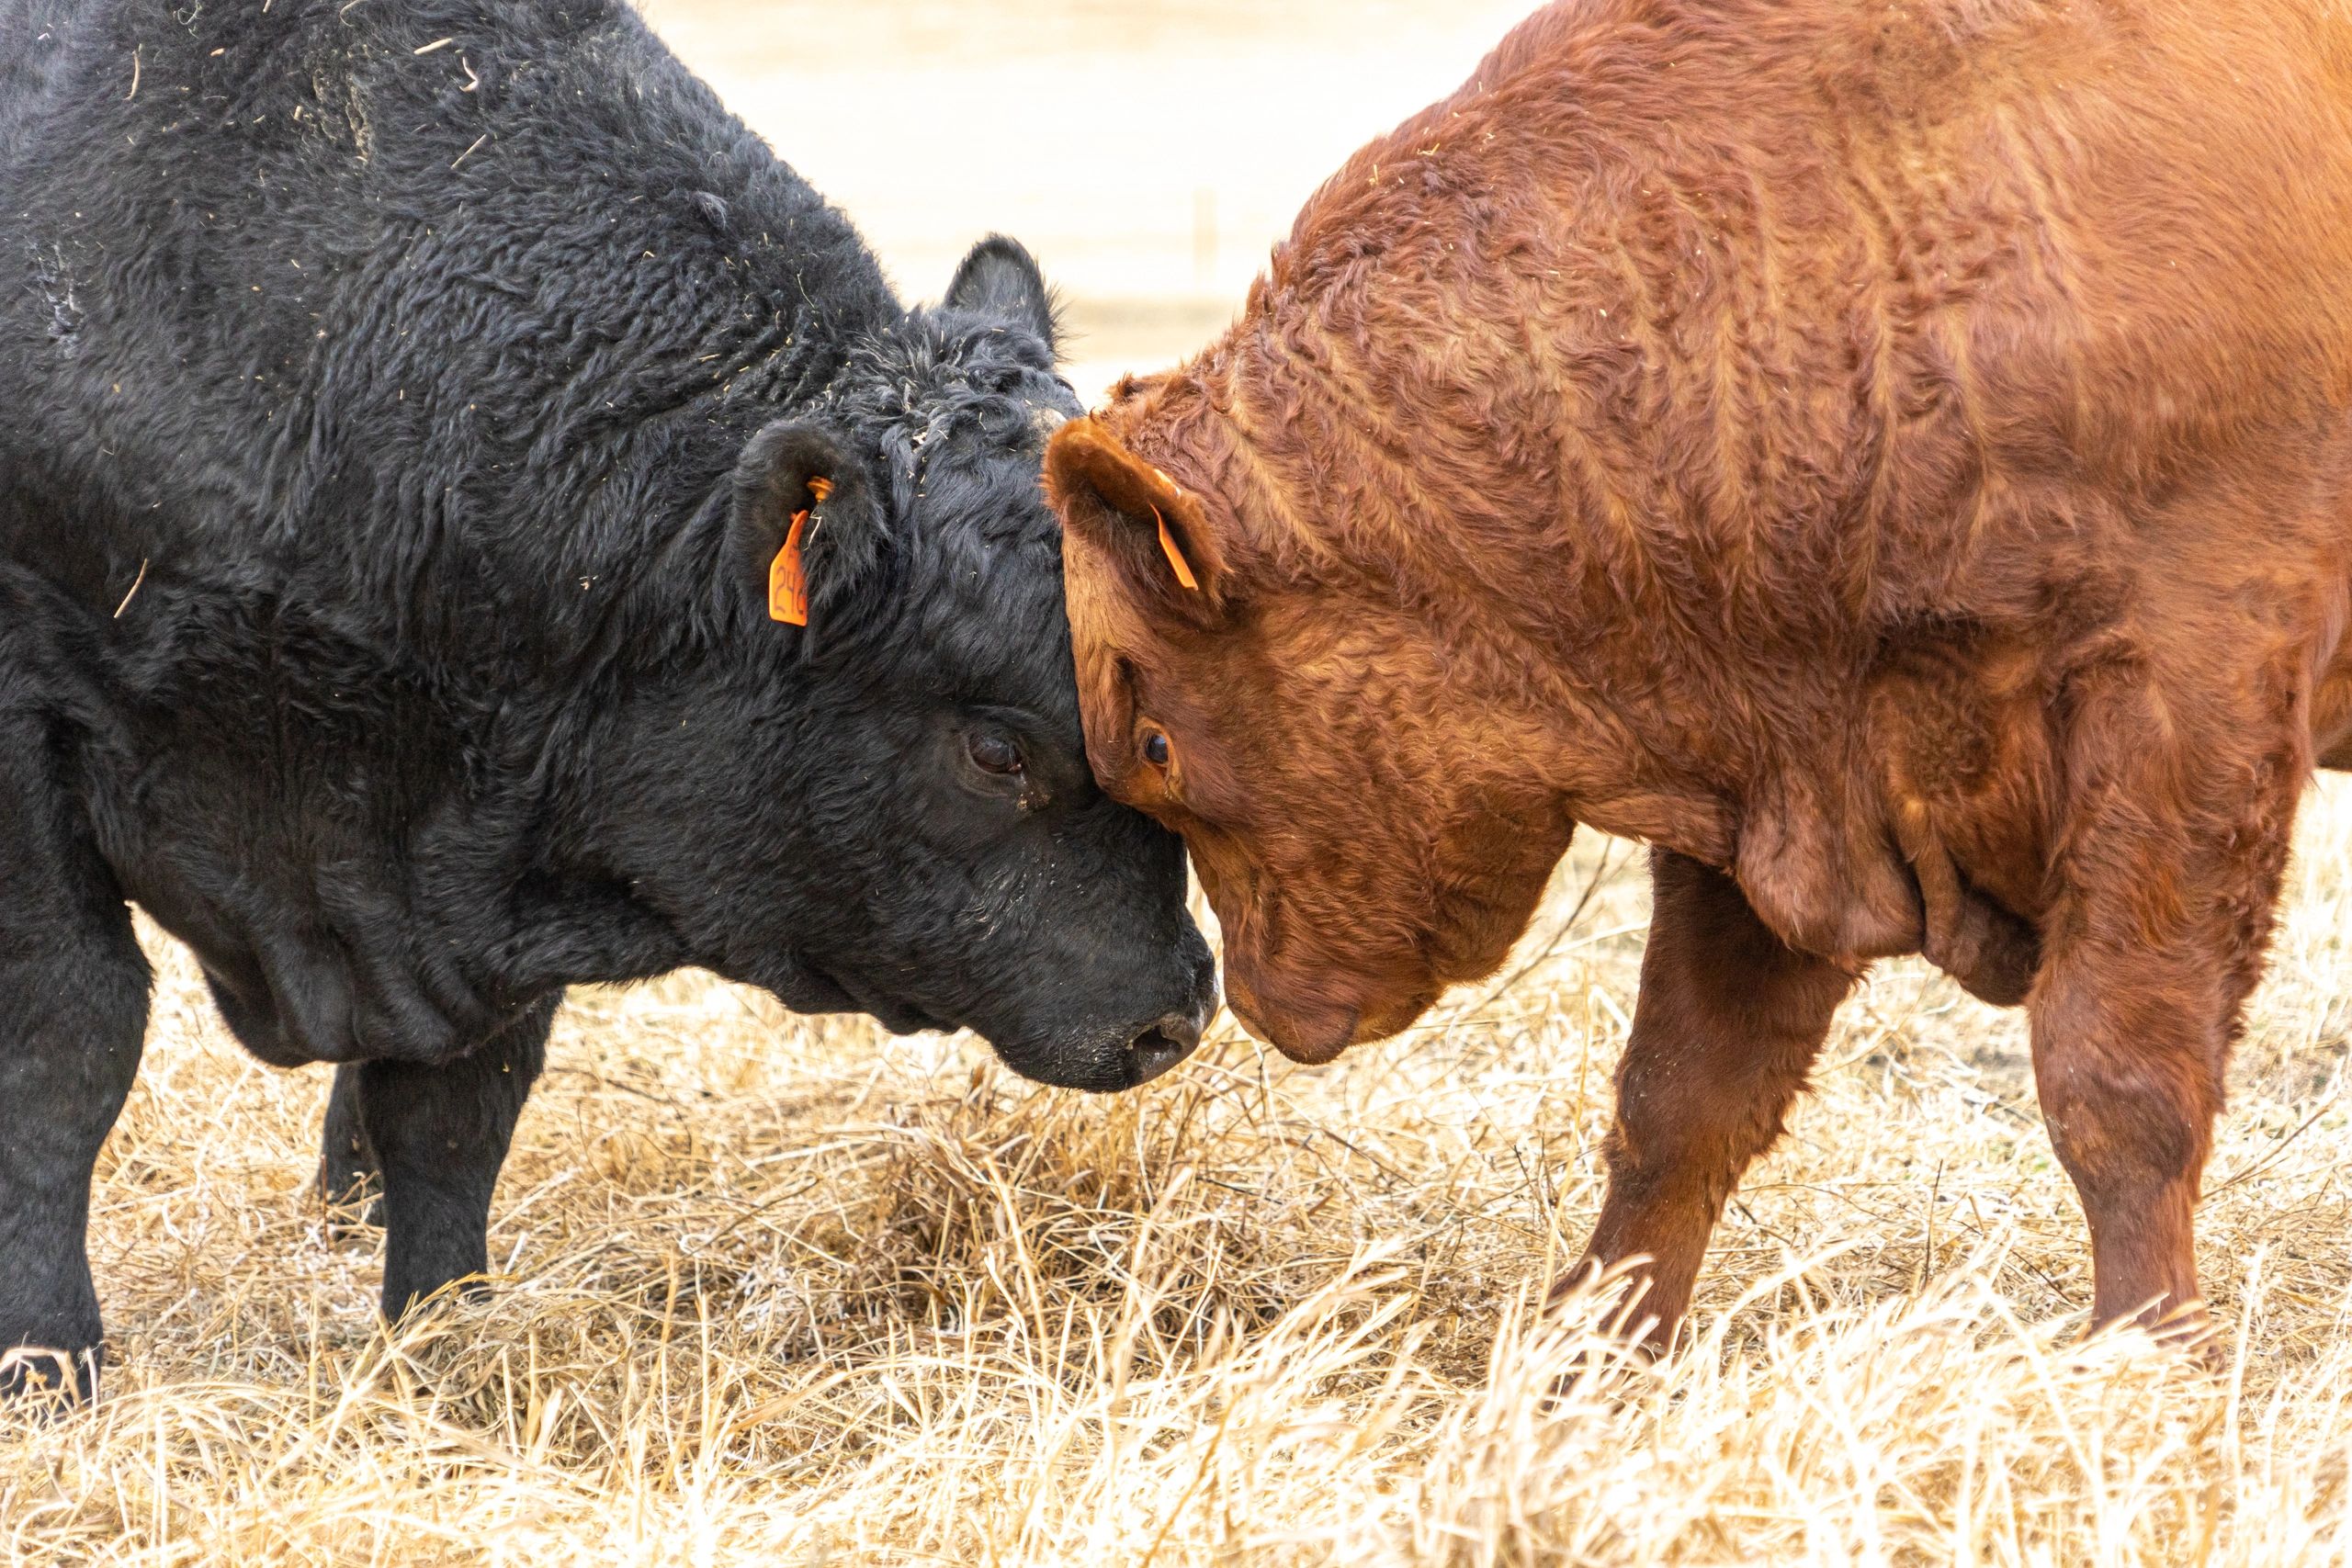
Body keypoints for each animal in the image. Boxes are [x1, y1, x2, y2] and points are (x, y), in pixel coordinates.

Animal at [0, 0, 1218, 1401]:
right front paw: (47, 1364)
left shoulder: (484, 841)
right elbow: (68, 1038)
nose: (1176, 1011)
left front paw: (445, 1339)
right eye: (996, 750)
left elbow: (456, 1110)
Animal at [1045, 0, 2352, 1351]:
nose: (1260, 1008)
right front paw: (1594, 1346)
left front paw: (2144, 1349)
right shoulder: (1778, 771)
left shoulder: (2183, 706)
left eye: (1154, 744)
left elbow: (2118, 1083)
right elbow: (1686, 1093)